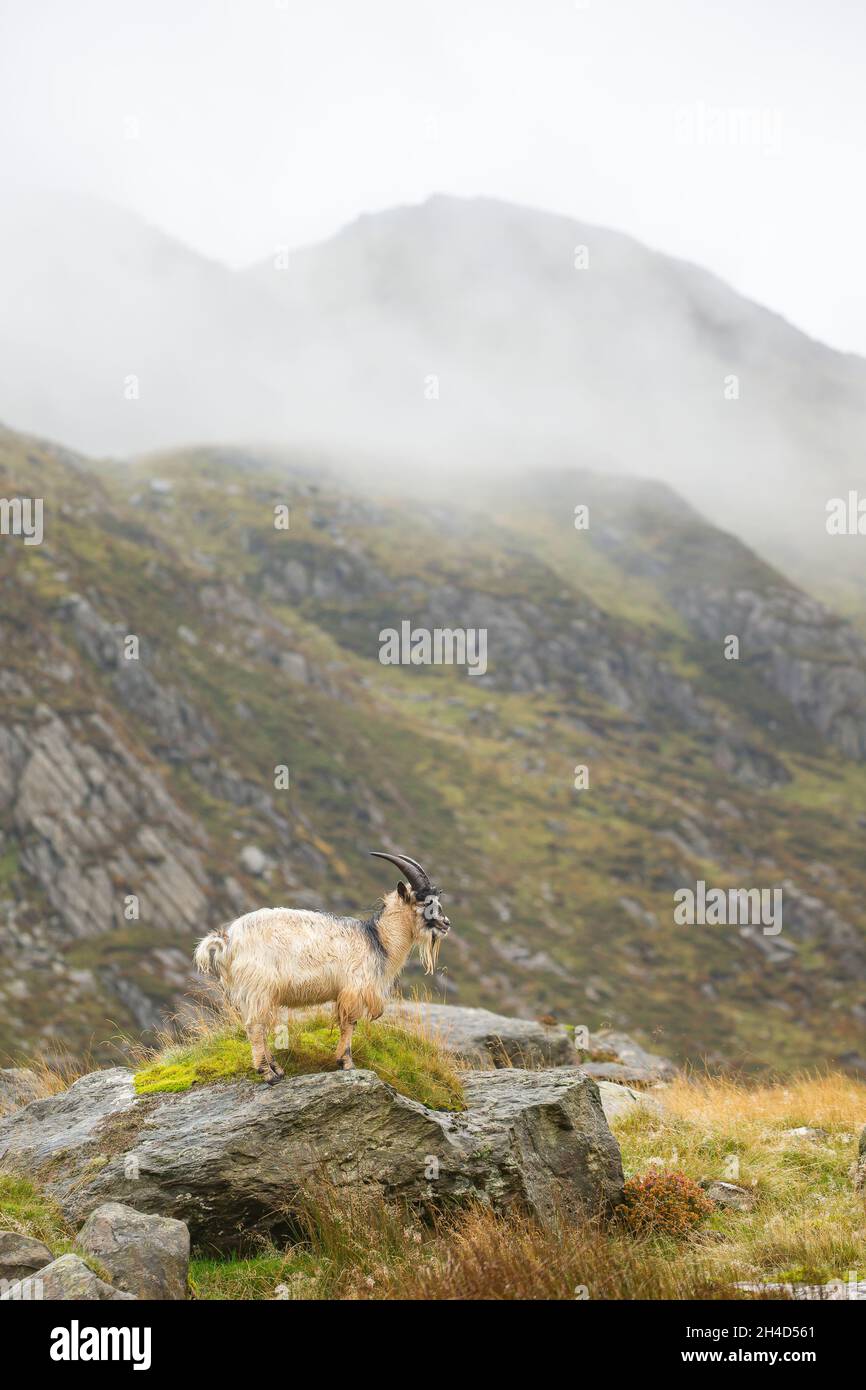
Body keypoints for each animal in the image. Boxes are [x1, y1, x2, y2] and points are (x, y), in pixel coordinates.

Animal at [193, 851, 450, 1081]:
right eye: (425, 903)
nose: (446, 923)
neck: (379, 939)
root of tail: (227, 941)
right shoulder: (353, 988)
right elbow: (350, 1024)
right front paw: (346, 1062)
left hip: (252, 993)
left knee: (258, 1025)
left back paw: (277, 1069)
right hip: (259, 986)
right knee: (255, 1027)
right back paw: (267, 1074)